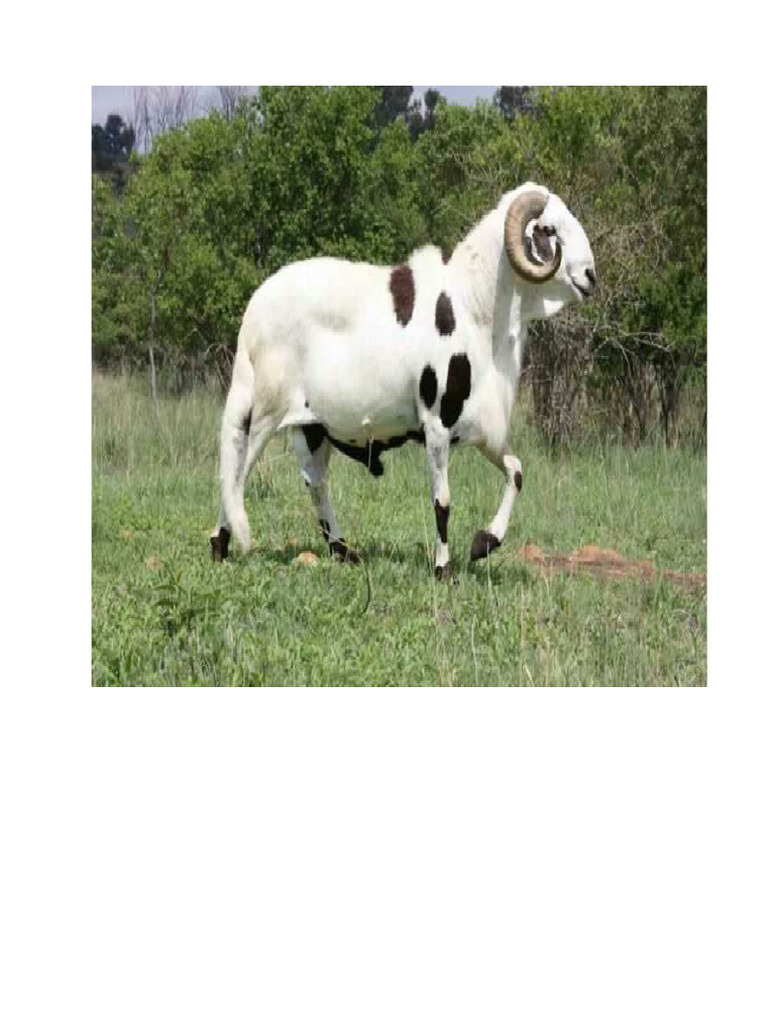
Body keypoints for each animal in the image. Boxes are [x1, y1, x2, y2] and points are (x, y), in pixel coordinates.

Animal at [210, 182, 596, 577]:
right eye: (548, 230)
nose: (589, 276)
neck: (475, 306)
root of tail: (255, 308)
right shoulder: (437, 424)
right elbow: (442, 501)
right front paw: (443, 569)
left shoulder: (481, 430)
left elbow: (516, 472)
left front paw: (483, 543)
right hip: (266, 414)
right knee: (237, 473)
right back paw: (220, 546)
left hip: (313, 426)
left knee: (315, 484)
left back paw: (341, 550)